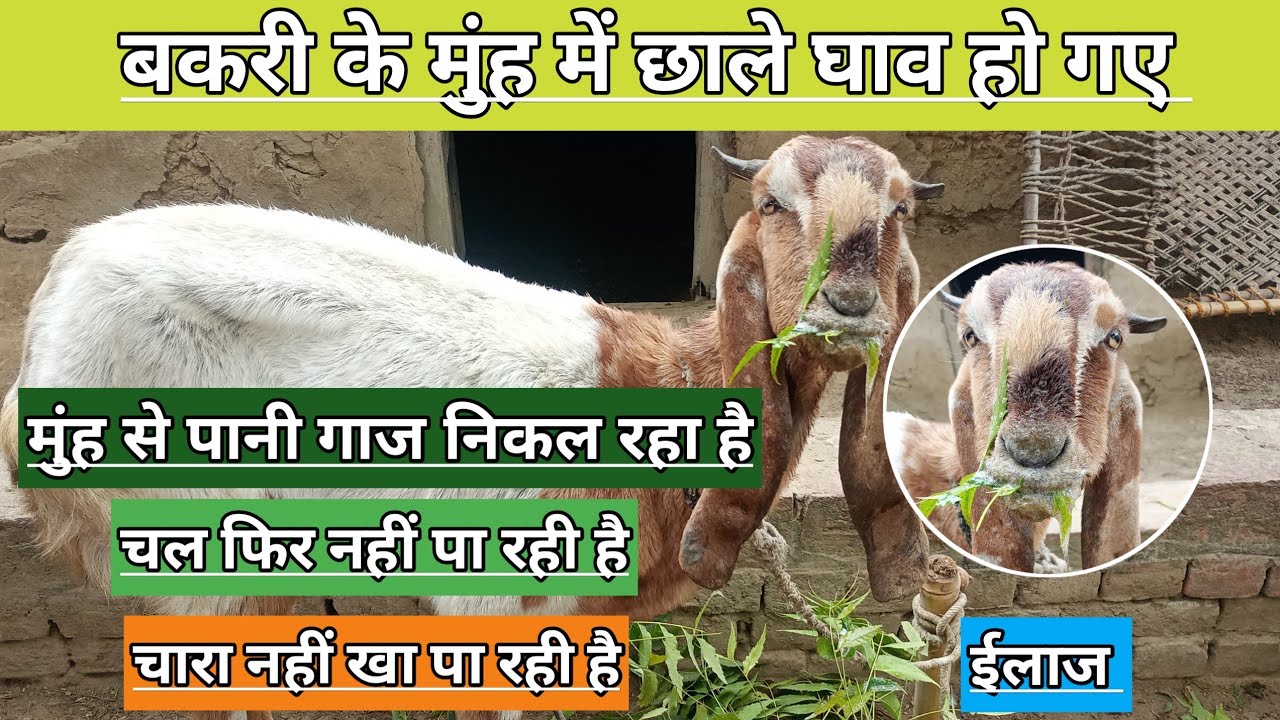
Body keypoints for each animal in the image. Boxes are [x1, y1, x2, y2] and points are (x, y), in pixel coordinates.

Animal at [1, 135, 941, 720]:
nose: (846, 308)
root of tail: (61, 277)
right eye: (772, 202)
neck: (662, 388)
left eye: (899, 213)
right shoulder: (489, 594)